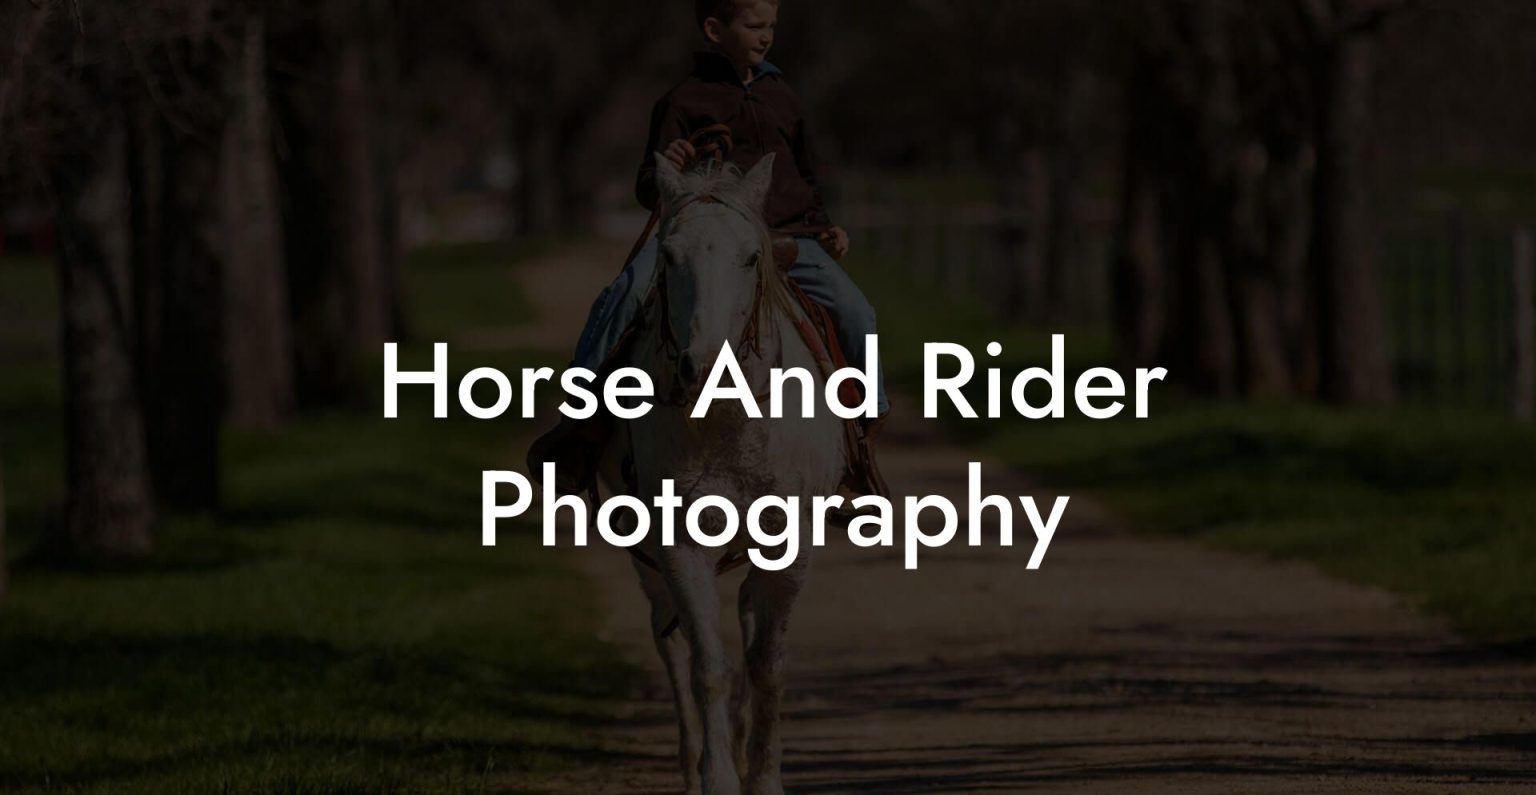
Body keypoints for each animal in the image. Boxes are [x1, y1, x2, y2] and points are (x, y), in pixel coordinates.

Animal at [597, 152, 847, 795]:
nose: (704, 364)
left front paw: (764, 776)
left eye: (752, 256)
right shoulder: (679, 545)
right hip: (646, 557)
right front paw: (718, 776)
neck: (727, 419)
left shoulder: (789, 546)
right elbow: (708, 664)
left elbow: (767, 662)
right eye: (667, 256)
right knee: (674, 645)